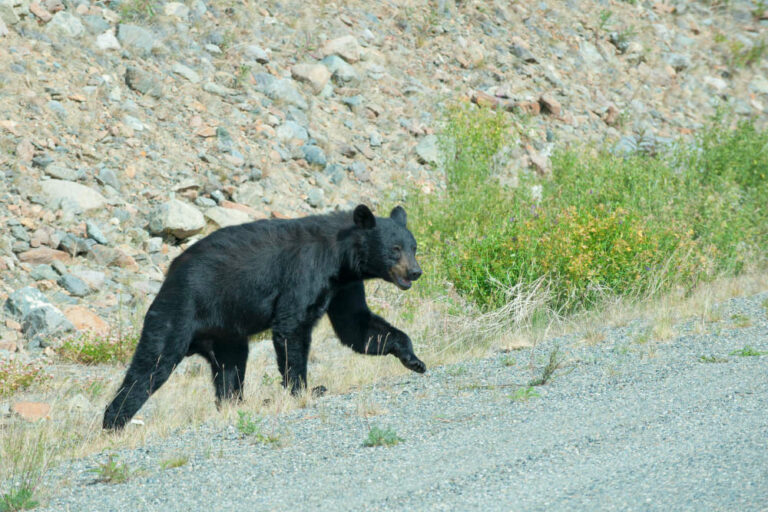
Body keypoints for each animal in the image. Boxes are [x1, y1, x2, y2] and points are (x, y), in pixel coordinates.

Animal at [103, 204, 426, 430]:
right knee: (151, 365)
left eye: (413, 247)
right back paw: (113, 422)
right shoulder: (304, 272)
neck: (339, 258)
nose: (415, 272)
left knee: (230, 370)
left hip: (226, 333)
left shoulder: (343, 286)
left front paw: (414, 360)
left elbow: (356, 326)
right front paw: (303, 390)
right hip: (180, 310)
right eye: (395, 249)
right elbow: (292, 327)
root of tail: (170, 273)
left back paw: (234, 404)